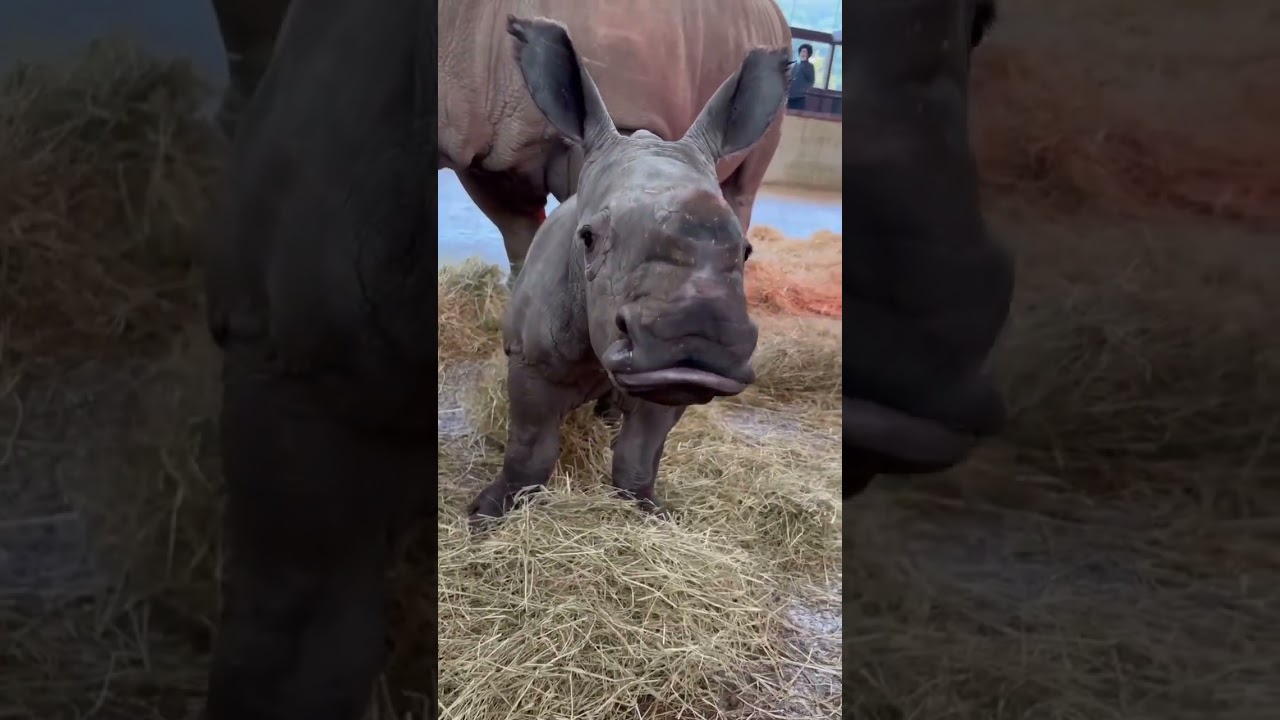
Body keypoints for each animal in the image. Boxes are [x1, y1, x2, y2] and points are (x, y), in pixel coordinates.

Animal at [470, 17, 785, 526]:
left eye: (747, 251)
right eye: (588, 239)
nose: (696, 333)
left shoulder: (672, 381)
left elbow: (640, 453)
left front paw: (650, 511)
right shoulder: (531, 359)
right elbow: (530, 447)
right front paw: (490, 514)